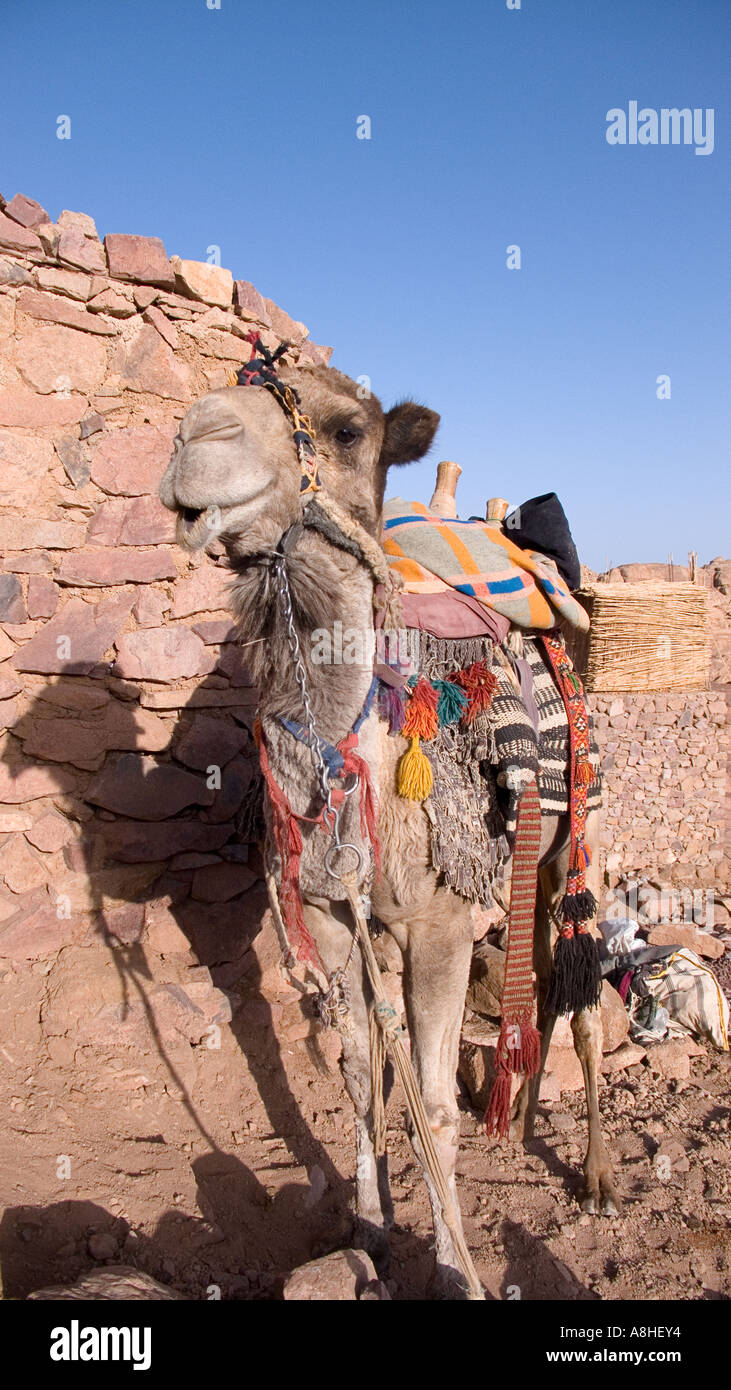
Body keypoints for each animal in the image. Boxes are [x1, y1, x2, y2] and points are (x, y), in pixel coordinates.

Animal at [159, 356, 619, 1297]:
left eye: (346, 429)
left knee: (584, 990)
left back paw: (592, 1177)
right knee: (539, 970)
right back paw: (520, 1118)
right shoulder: (332, 913)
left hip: (581, 831)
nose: (197, 438)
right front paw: (370, 1223)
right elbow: (358, 1073)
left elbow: (433, 1104)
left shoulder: (437, 924)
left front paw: (450, 1265)